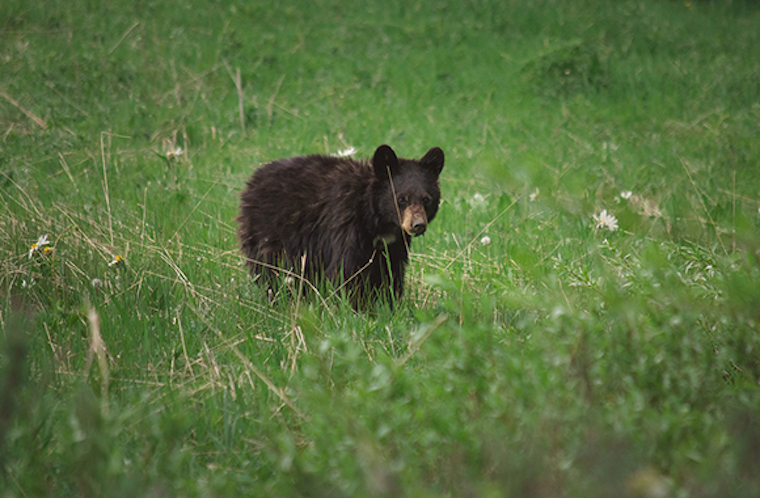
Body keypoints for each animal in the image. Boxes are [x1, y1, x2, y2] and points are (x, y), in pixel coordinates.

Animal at [237, 144, 444, 306]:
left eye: (426, 199)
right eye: (401, 199)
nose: (417, 225)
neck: (378, 220)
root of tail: (251, 181)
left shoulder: (394, 243)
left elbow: (390, 272)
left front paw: (389, 306)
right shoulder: (345, 225)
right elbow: (345, 270)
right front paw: (355, 309)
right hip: (269, 230)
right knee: (269, 269)